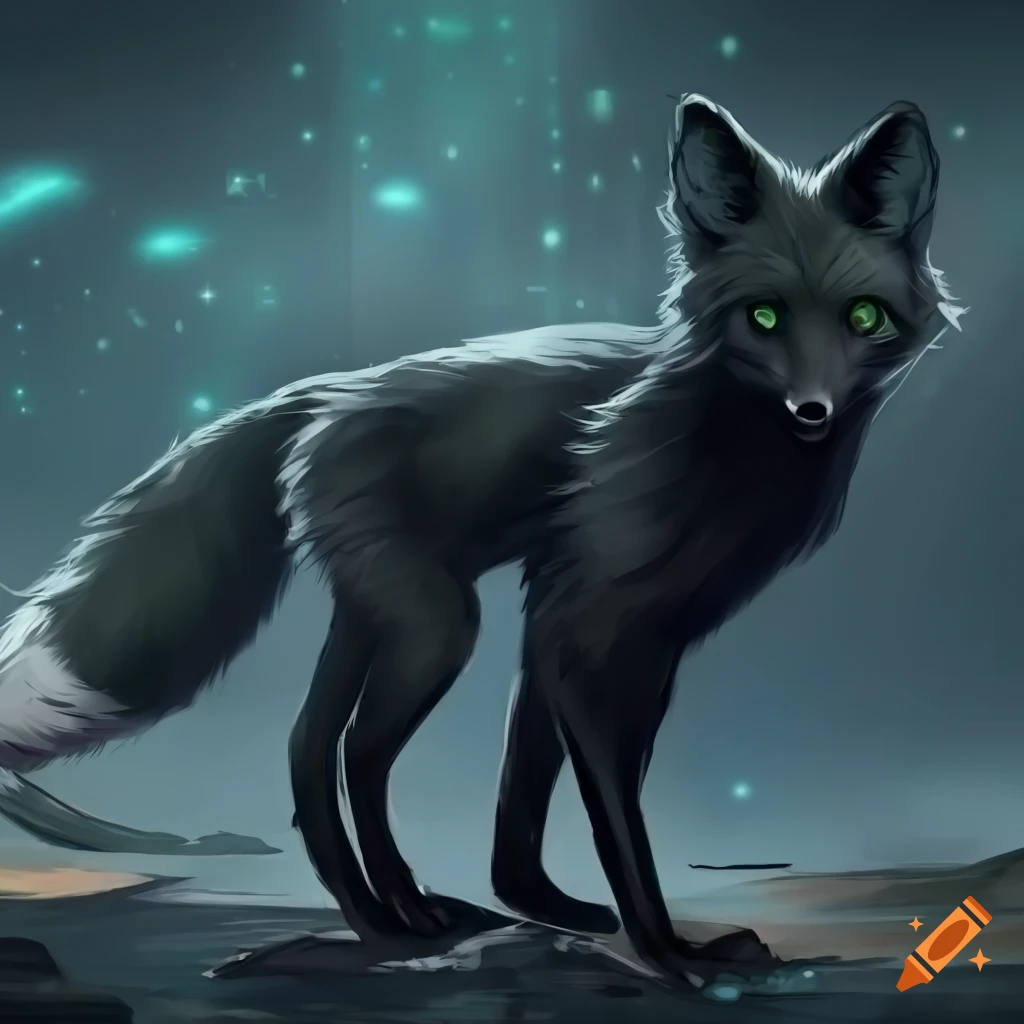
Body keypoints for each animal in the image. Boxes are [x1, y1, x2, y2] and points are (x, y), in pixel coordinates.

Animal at [0, 94, 962, 984]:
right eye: (764, 318)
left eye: (863, 318)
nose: (813, 410)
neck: (723, 450)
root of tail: (322, 391)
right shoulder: (588, 624)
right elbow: (618, 820)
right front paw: (668, 954)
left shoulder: (619, 630)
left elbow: (529, 790)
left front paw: (544, 905)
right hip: (436, 623)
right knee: (358, 753)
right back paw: (401, 918)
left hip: (381, 610)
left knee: (307, 746)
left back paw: (383, 918)